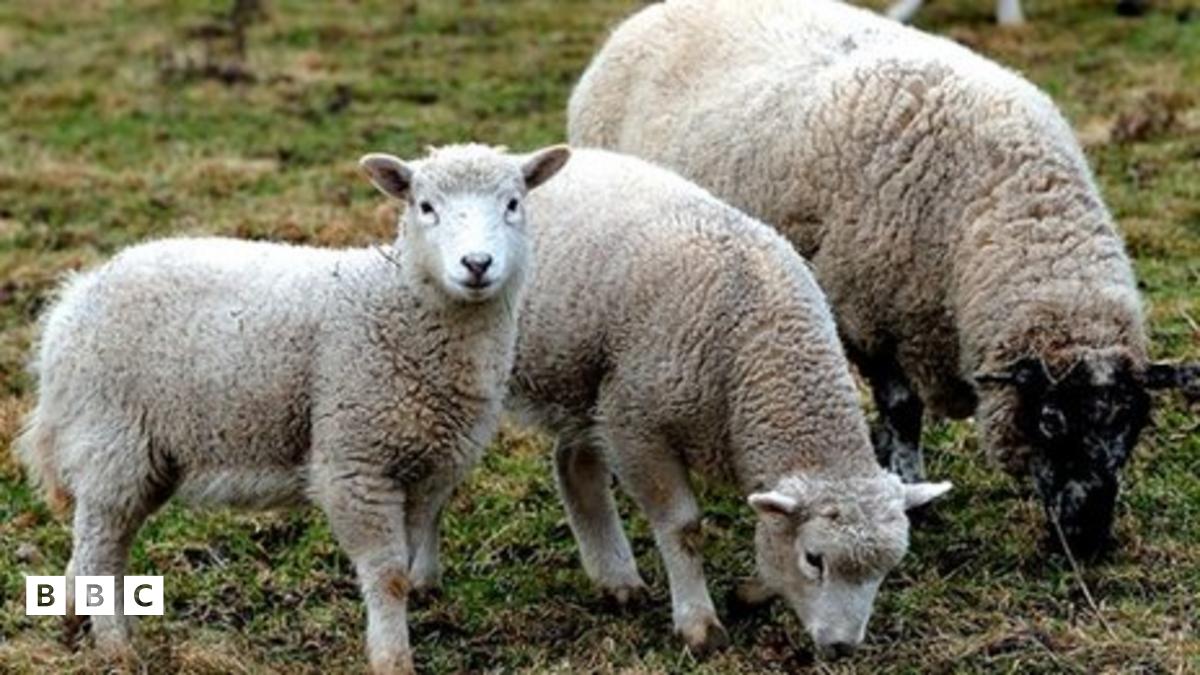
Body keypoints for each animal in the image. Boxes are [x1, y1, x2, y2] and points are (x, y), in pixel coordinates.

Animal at [16, 143, 570, 674]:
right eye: (426, 207)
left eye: (513, 203)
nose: (477, 264)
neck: (398, 303)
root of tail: (71, 302)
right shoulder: (355, 462)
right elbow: (389, 576)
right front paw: (393, 661)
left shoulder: (429, 470)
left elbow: (409, 563)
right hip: (113, 439)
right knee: (99, 548)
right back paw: (117, 649)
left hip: (148, 456)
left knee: (101, 544)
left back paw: (75, 618)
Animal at [509, 148, 951, 657]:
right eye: (814, 559)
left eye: (887, 569)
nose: (842, 647)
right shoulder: (634, 426)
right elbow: (683, 528)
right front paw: (699, 624)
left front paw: (750, 593)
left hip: (585, 383)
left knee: (574, 467)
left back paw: (615, 579)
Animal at [566, 0, 1198, 558]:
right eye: (1050, 420)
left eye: (1135, 426)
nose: (1088, 542)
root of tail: (641, 20)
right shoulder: (868, 311)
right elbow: (902, 409)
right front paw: (913, 489)